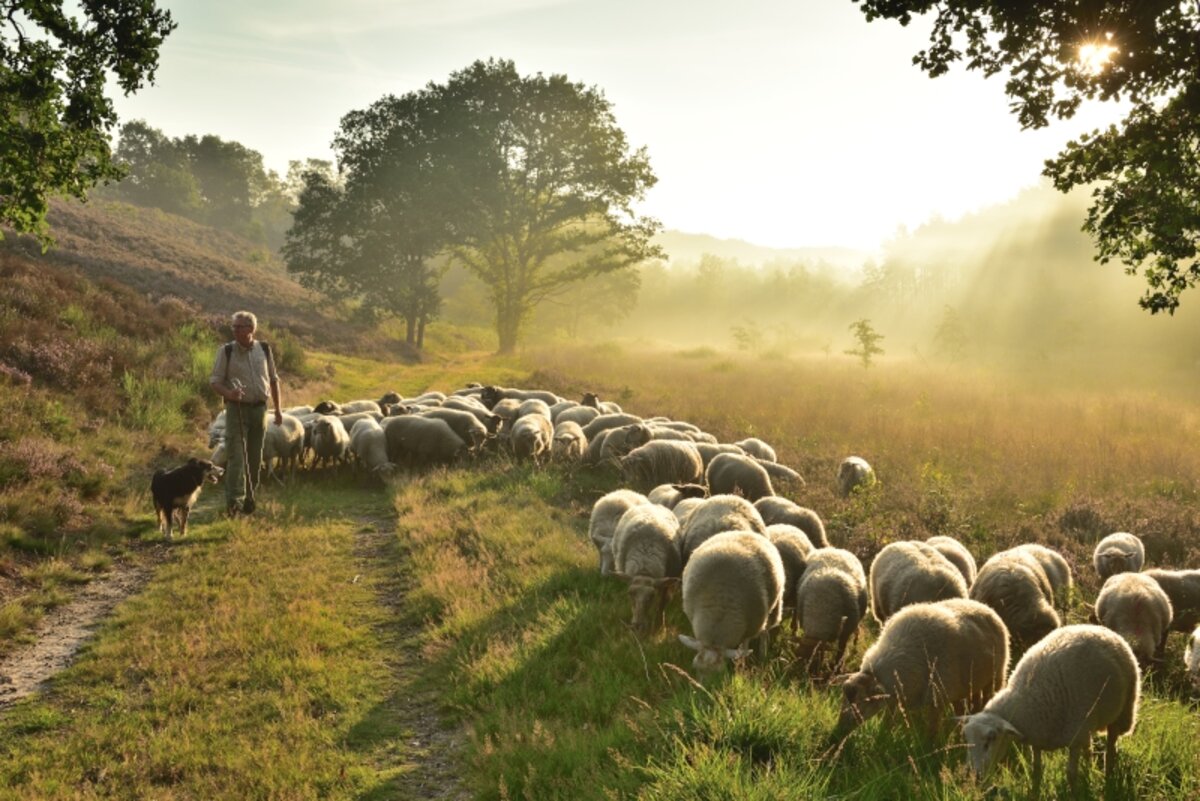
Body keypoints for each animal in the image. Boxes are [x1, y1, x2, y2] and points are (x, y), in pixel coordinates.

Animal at [611, 504, 683, 636]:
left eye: (652, 596)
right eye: (630, 593)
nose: (638, 626)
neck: (645, 568)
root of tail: (653, 504)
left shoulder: (666, 583)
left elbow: (661, 604)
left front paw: (660, 625)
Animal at [678, 531, 786, 673]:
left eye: (720, 673)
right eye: (695, 669)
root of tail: (745, 532)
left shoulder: (751, 627)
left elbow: (744, 648)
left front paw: (741, 667)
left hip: (775, 606)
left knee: (765, 631)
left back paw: (763, 655)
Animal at [833, 599, 1009, 738]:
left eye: (863, 701)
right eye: (843, 700)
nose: (839, 732)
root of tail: (980, 604)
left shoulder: (936, 698)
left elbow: (932, 731)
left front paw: (929, 746)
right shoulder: (896, 696)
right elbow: (888, 721)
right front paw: (884, 736)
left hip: (996, 676)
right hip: (968, 684)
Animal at [962, 624, 1140, 789]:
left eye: (990, 741)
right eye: (967, 741)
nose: (976, 778)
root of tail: (1095, 627)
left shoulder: (1075, 736)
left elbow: (1071, 775)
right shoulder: (1038, 737)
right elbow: (1036, 771)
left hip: (1123, 710)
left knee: (1111, 746)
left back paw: (1108, 776)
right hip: (1088, 723)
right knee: (1089, 747)